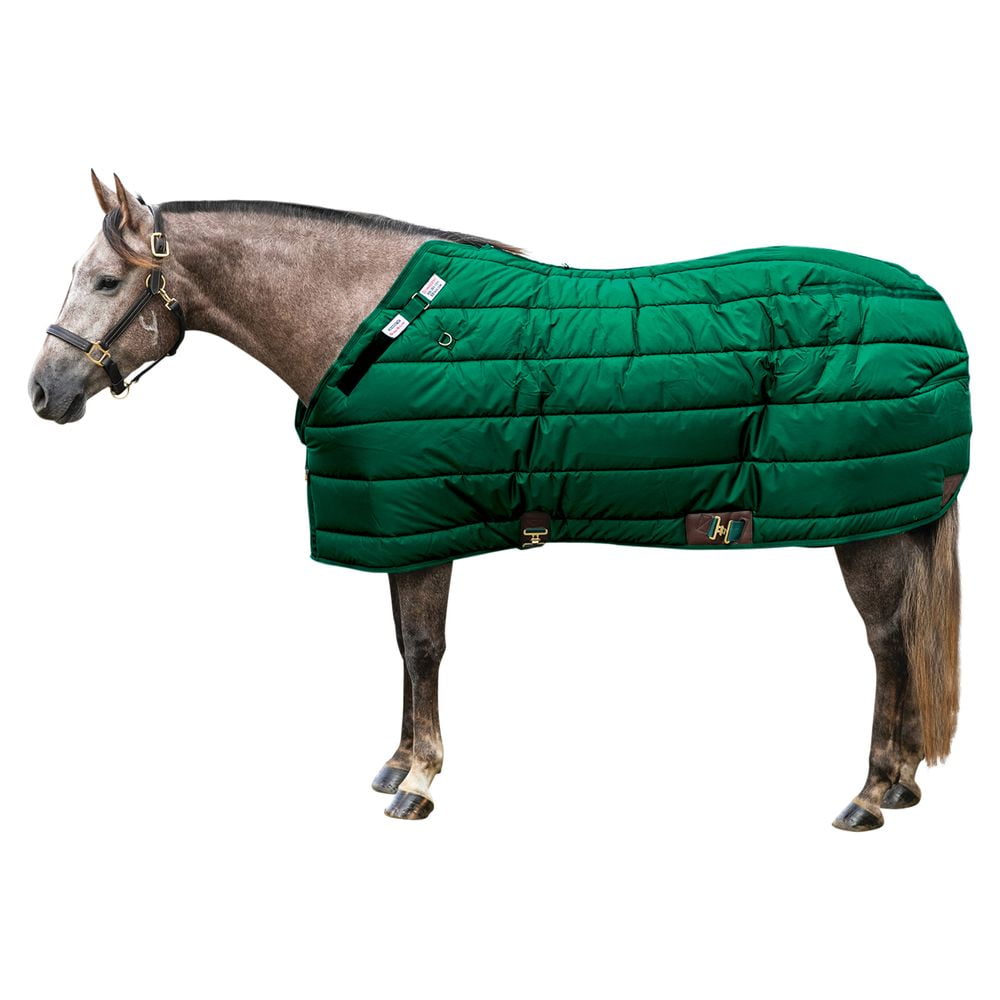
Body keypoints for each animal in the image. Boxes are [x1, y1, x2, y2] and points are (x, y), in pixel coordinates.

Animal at [28, 172, 965, 828]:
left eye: (106, 282)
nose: (43, 391)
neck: (373, 326)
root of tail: (933, 306)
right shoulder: (404, 527)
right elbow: (404, 647)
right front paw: (398, 761)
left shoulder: (423, 529)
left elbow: (423, 648)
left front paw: (416, 782)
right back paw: (901, 784)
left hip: (867, 529)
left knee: (887, 643)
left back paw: (872, 793)